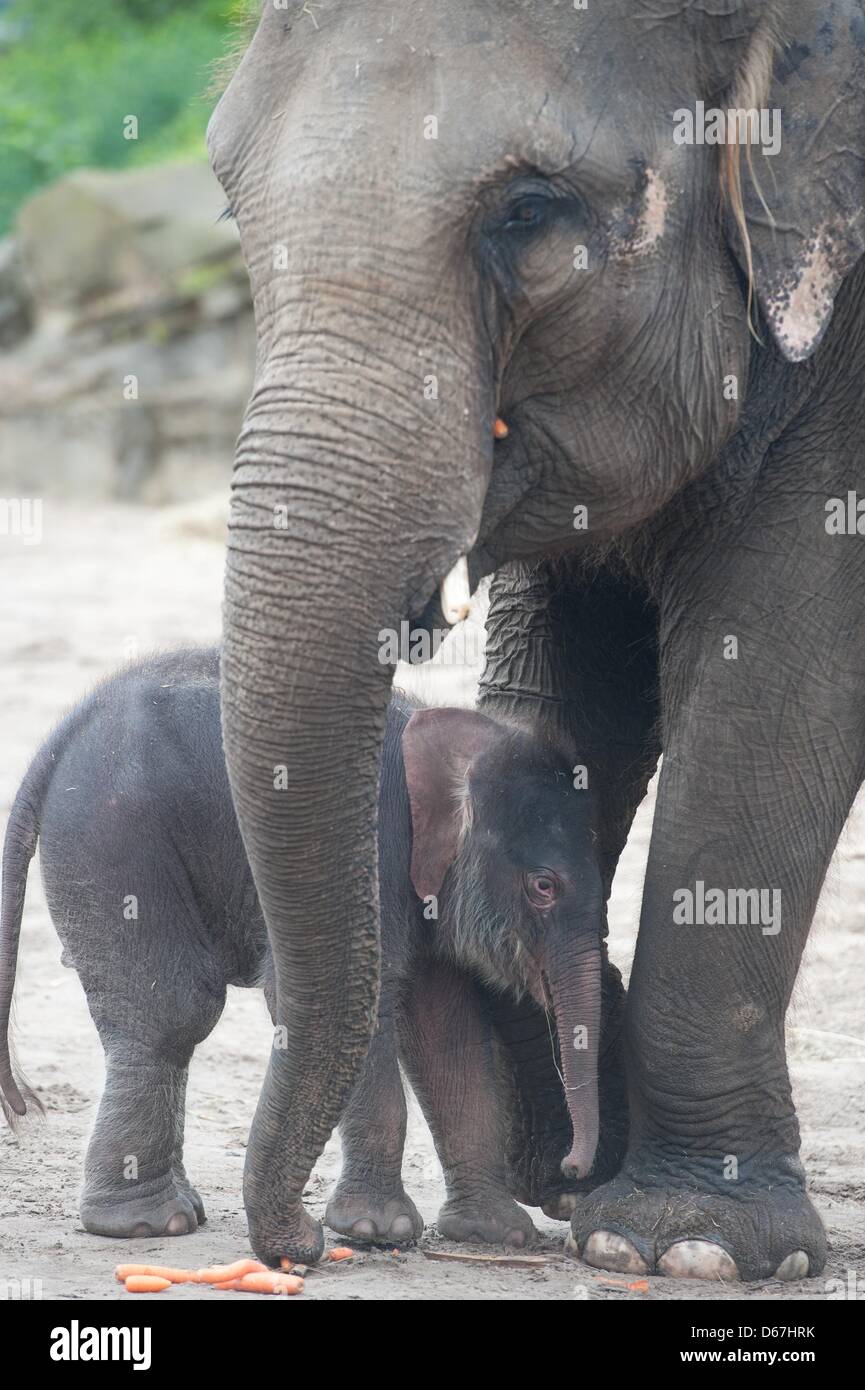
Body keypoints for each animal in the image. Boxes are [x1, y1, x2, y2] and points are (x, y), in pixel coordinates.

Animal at [0, 648, 626, 1246]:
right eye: (543, 887)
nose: (572, 1172)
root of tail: (58, 740)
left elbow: (447, 1031)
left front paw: (498, 1234)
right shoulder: (369, 852)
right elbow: (359, 1006)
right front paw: (378, 1231)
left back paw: (179, 1214)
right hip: (114, 839)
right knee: (174, 1013)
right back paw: (147, 1225)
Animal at [206, 0, 865, 1276]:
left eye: (527, 214)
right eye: (228, 200)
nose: (298, 1246)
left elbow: (779, 684)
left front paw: (686, 1244)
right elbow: (572, 675)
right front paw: (560, 1168)